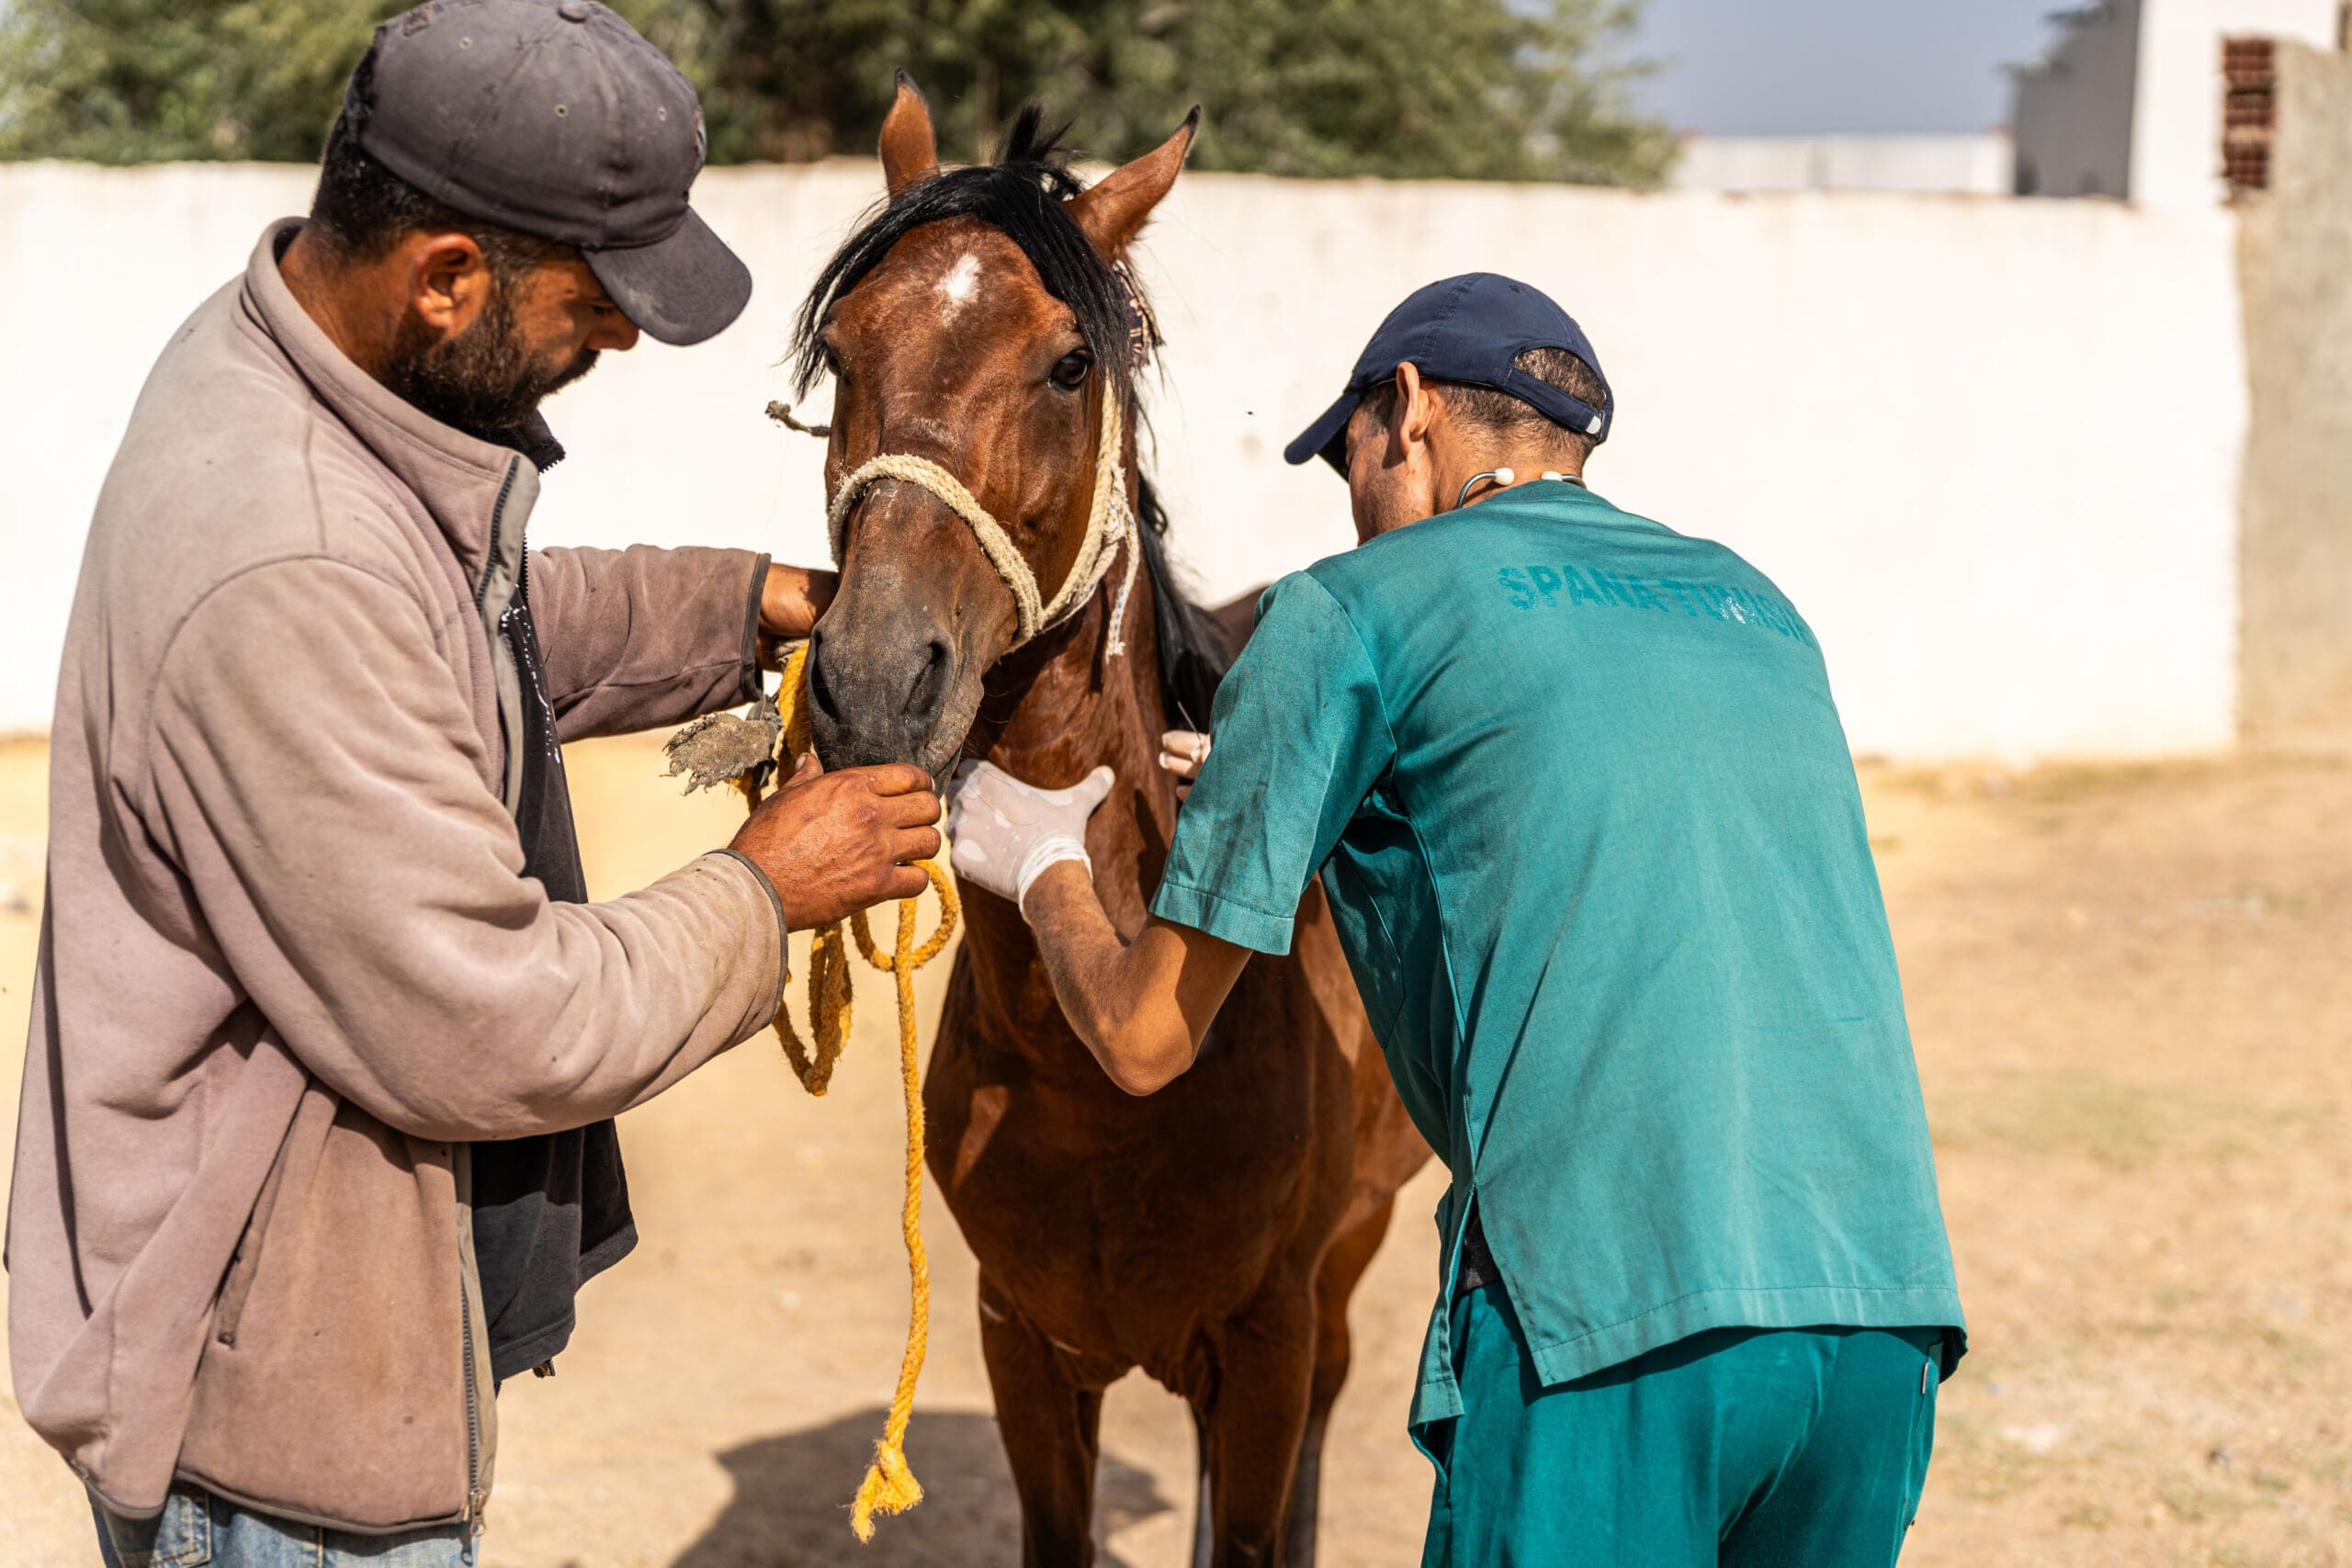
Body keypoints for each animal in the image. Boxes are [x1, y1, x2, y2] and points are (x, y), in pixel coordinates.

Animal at [791, 76, 1431, 1567]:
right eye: (841, 352)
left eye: (1069, 363)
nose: (871, 682)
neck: (1089, 1080)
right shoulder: (1021, 1344)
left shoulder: (1265, 1342)